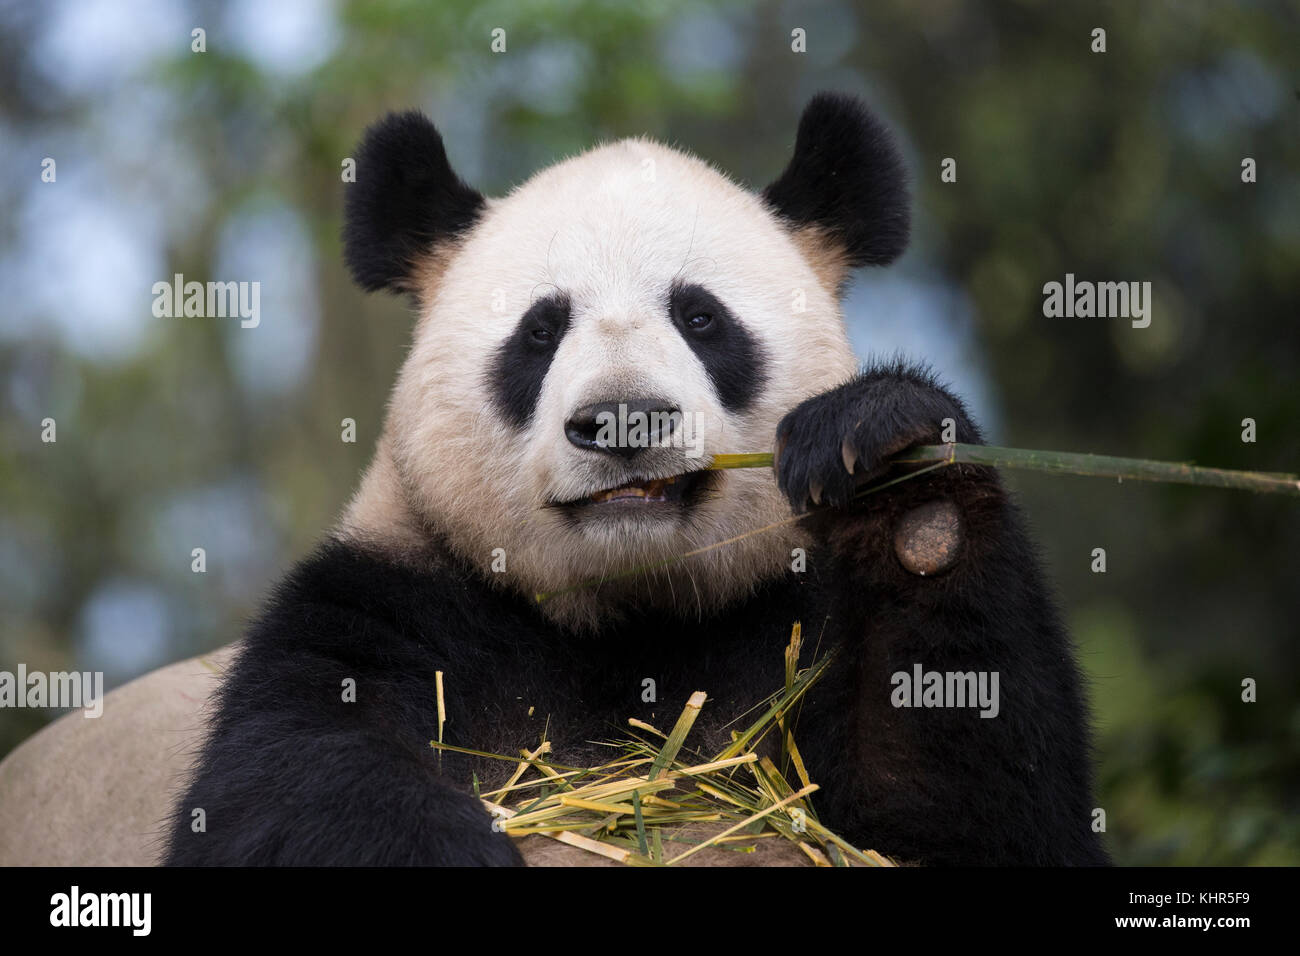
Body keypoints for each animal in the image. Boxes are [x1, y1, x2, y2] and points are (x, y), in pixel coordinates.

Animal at [165, 92, 1109, 867]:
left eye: (701, 317)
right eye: (540, 330)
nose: (623, 420)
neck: (631, 619)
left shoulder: (796, 619)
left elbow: (964, 810)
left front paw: (893, 466)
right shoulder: (394, 605)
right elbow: (288, 787)